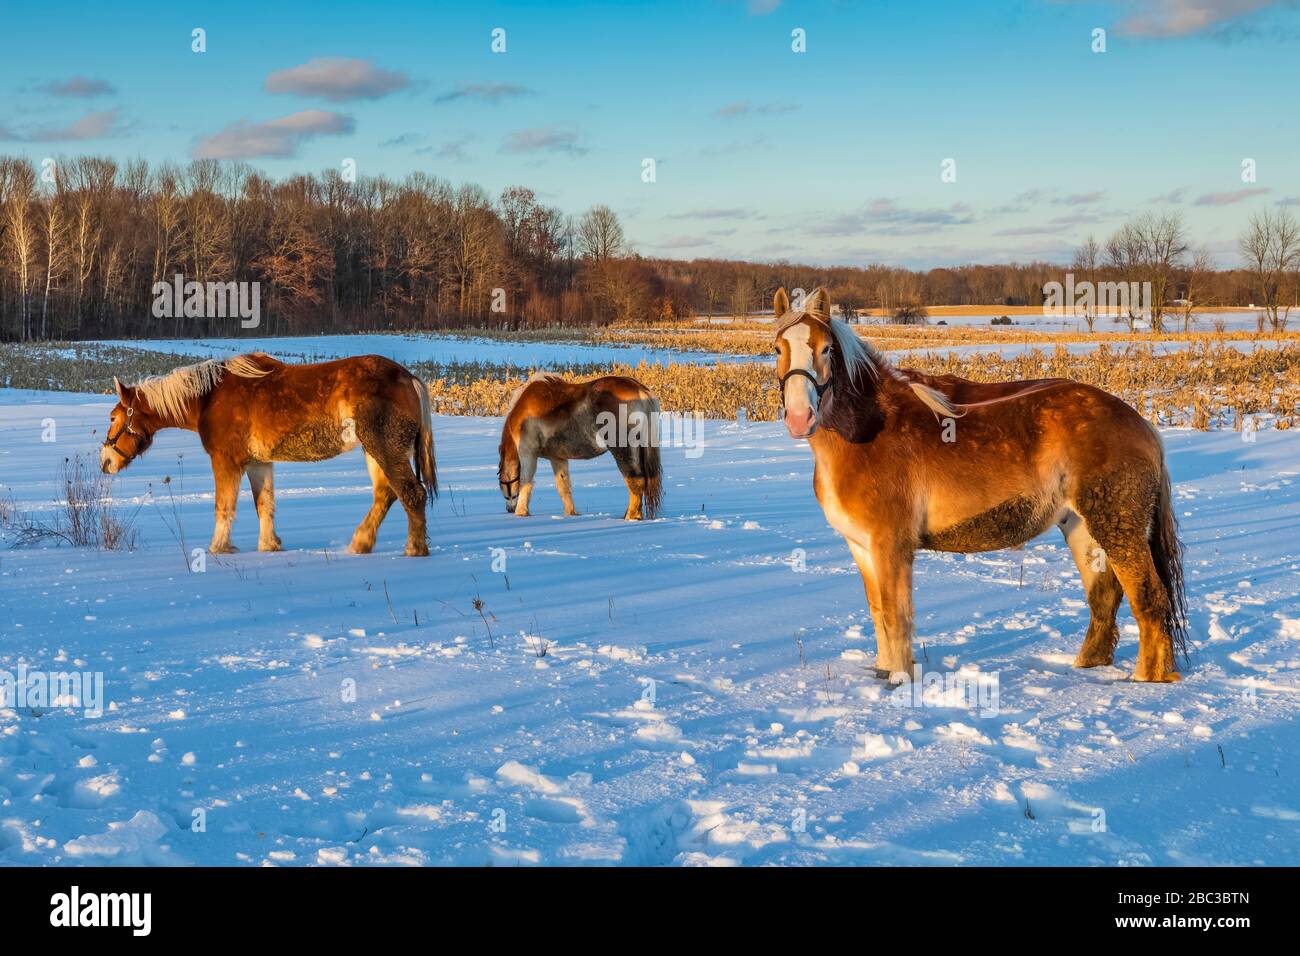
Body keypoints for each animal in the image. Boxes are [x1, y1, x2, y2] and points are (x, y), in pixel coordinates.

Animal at [100, 352, 437, 556]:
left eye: (114, 417)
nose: (105, 461)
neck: (209, 398)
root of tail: (408, 378)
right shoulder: (258, 463)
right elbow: (264, 504)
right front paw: (269, 545)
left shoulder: (226, 462)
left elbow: (224, 507)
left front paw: (218, 547)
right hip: (374, 451)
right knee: (386, 494)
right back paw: (361, 543)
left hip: (385, 448)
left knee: (412, 494)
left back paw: (414, 549)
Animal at [497, 373, 662, 520]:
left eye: (502, 484)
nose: (509, 509)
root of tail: (640, 391)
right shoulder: (557, 458)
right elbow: (564, 486)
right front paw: (571, 513)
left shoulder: (528, 453)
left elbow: (525, 482)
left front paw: (521, 512)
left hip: (624, 450)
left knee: (635, 480)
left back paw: (631, 517)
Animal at [773, 287, 1187, 683]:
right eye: (777, 347)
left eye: (826, 348)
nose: (799, 417)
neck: (868, 431)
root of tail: (1139, 423)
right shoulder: (861, 546)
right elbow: (878, 613)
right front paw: (882, 674)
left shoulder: (891, 546)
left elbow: (896, 615)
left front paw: (899, 680)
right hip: (1082, 526)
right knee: (1104, 596)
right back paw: (1085, 667)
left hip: (1118, 528)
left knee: (1148, 596)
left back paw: (1147, 678)